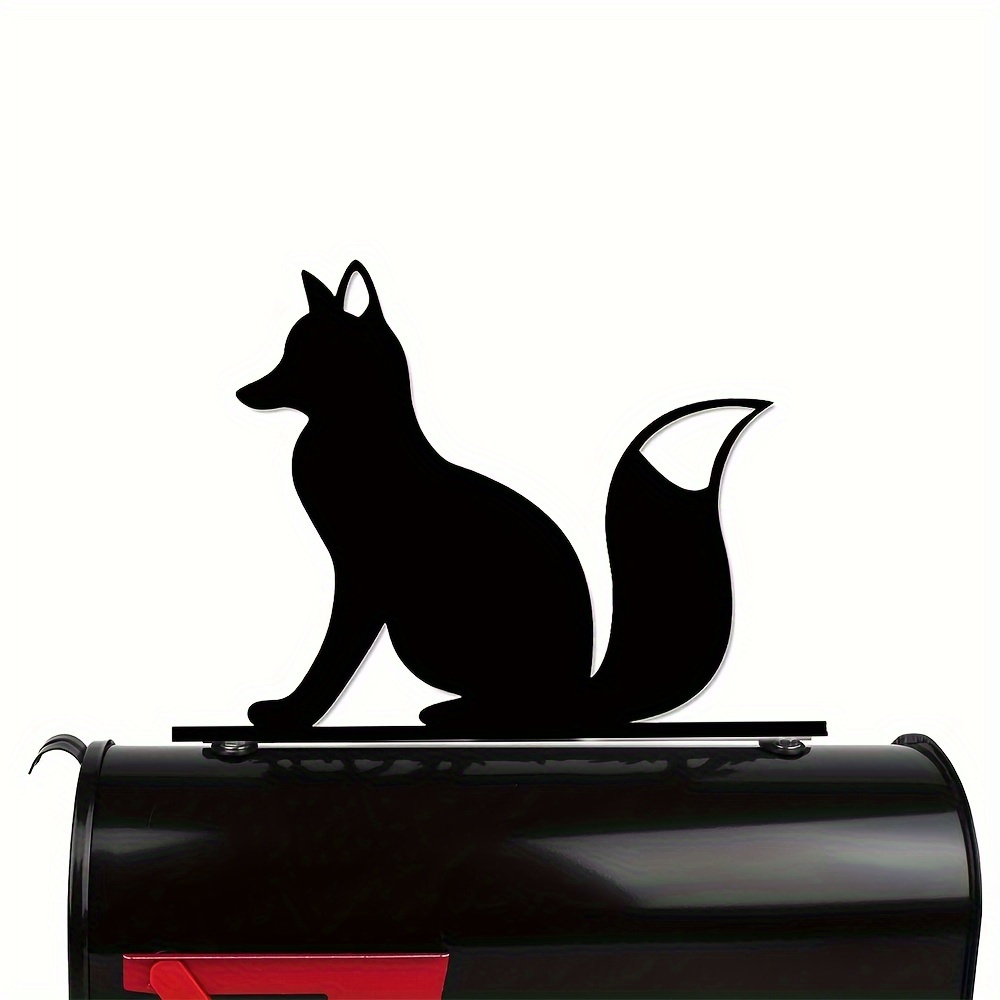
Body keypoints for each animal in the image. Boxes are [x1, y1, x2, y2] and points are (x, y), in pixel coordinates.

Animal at [237, 262, 769, 731]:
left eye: (305, 356)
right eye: (287, 352)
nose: (244, 393)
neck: (356, 436)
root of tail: (577, 693)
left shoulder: (362, 575)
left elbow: (331, 659)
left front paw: (290, 715)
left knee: (513, 705)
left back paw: (453, 715)